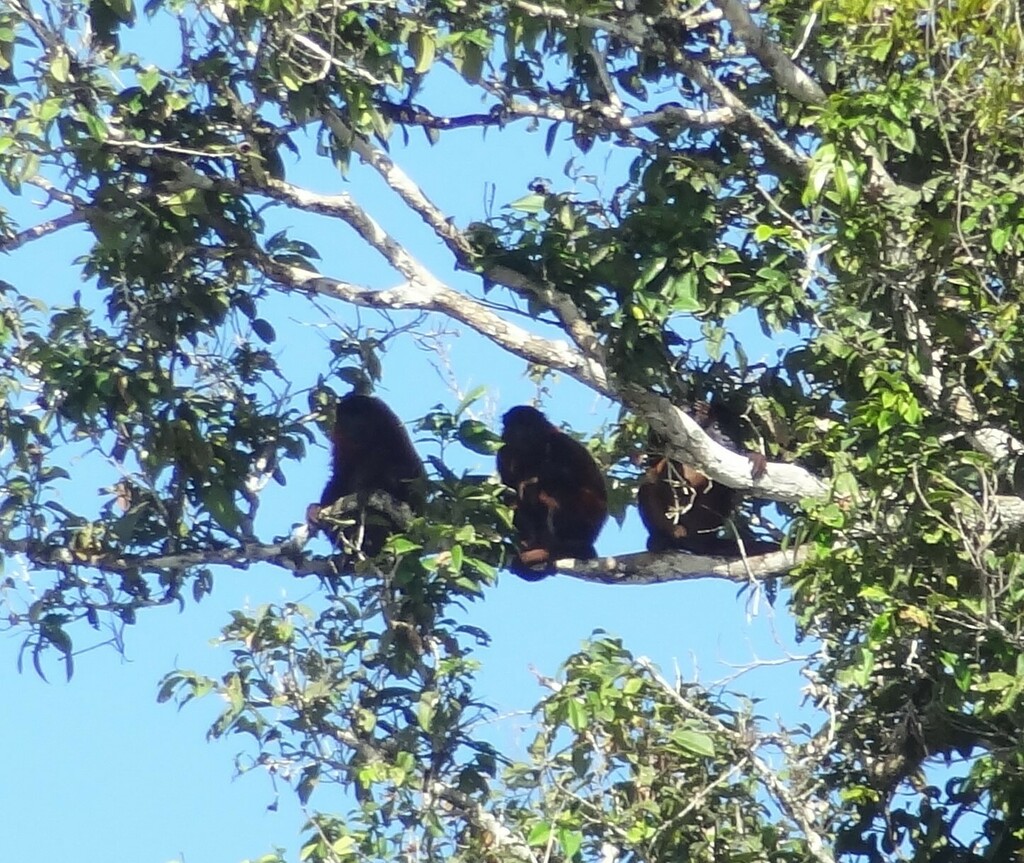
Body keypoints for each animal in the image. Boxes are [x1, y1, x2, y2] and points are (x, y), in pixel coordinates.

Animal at [306, 393, 425, 558]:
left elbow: (406, 472)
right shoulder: (341, 445)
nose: (351, 428)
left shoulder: (392, 429)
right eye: (346, 420)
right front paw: (319, 507)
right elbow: (339, 476)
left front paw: (368, 487)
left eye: (358, 418)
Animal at [497, 405, 608, 580]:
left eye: (528, 425)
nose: (520, 432)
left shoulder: (560, 442)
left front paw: (541, 474)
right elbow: (507, 490)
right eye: (514, 426)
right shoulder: (503, 451)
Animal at [637, 401, 775, 557]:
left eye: (732, 432)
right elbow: (653, 454)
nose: (727, 439)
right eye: (717, 427)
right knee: (648, 486)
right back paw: (660, 538)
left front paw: (755, 456)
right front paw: (693, 411)